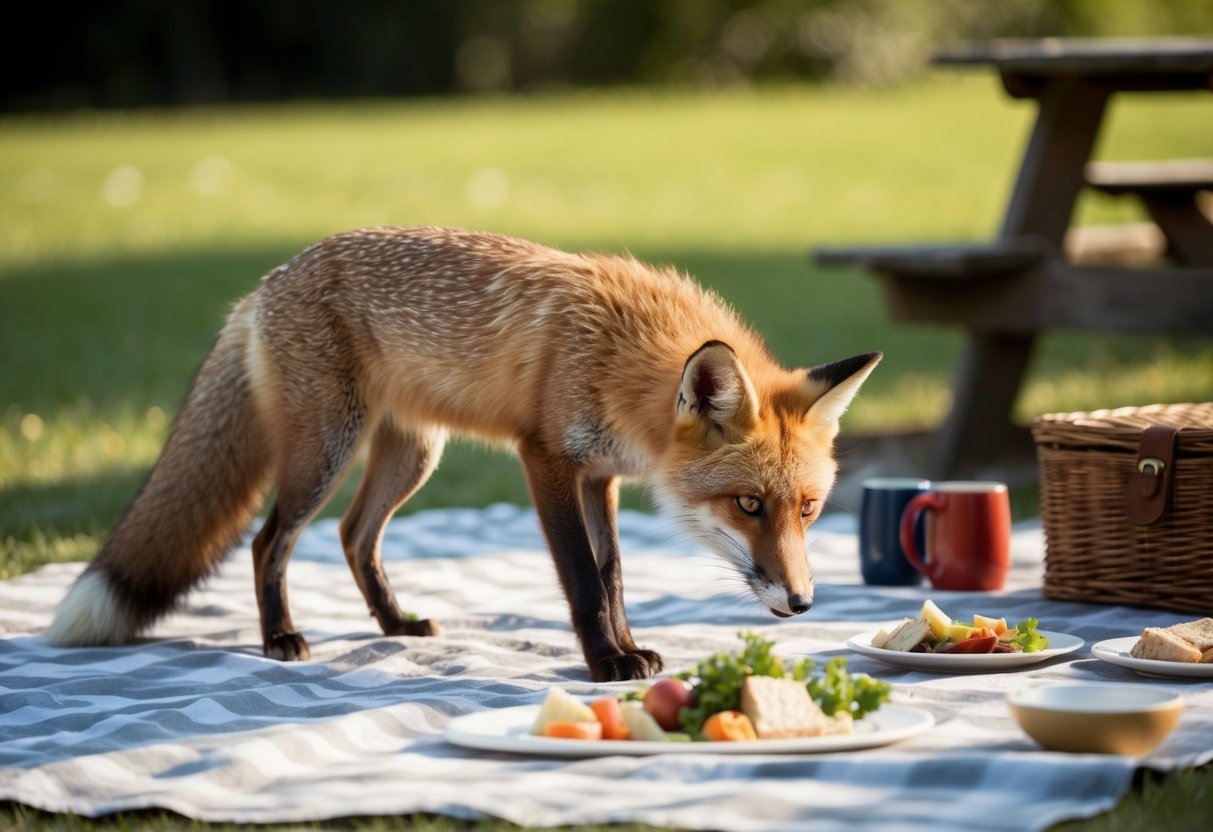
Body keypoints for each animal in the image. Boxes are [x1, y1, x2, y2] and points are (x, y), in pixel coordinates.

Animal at [45, 226, 880, 682]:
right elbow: (583, 581)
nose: (802, 603)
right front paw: (604, 664)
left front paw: (629, 650)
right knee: (267, 540)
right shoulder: (545, 460)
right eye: (747, 505)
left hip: (412, 456)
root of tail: (267, 281)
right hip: (326, 451)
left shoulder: (600, 476)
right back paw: (279, 638)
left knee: (353, 536)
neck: (620, 351)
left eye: (809, 510)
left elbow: (613, 576)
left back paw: (395, 627)